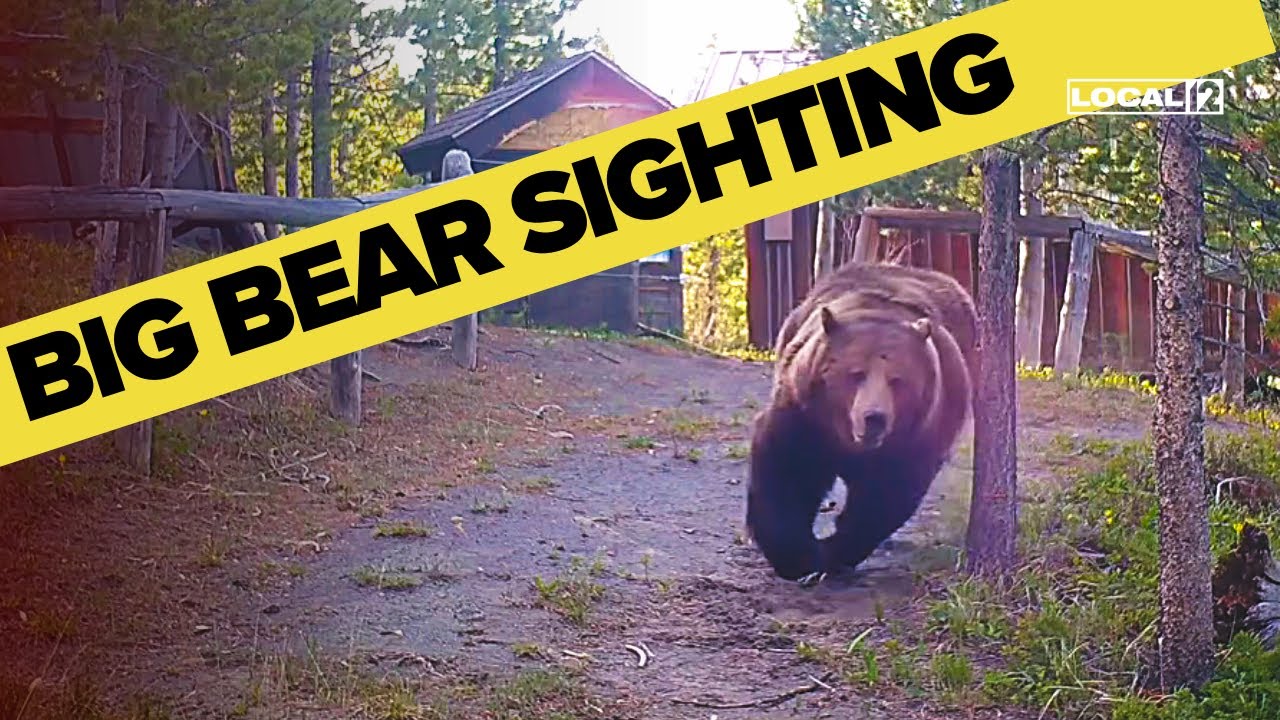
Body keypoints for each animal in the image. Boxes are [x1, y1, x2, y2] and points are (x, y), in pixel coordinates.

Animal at [745, 261, 977, 584]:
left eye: (897, 380)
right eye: (856, 373)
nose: (874, 417)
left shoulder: (913, 438)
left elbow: (883, 499)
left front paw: (833, 553)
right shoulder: (804, 416)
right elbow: (787, 471)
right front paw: (799, 557)